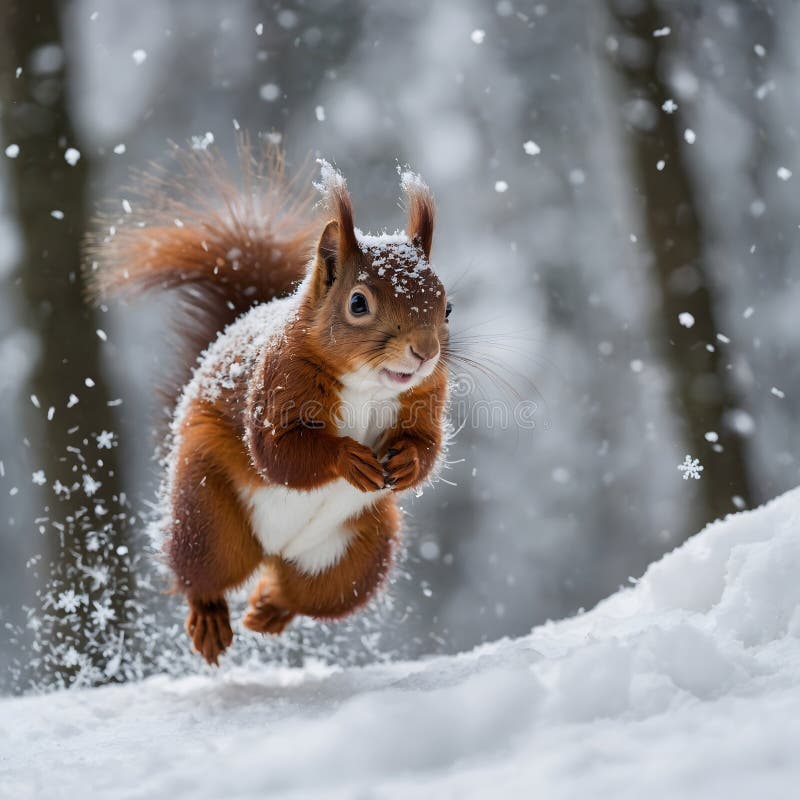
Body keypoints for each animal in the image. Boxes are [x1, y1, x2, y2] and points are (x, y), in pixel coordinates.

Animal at [87, 141, 451, 664]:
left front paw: (405, 461)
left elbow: (427, 444)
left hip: (358, 555)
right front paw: (347, 458)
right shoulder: (278, 381)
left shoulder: (427, 396)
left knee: (305, 594)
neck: (369, 388)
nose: (424, 352)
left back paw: (267, 607)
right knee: (202, 574)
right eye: (358, 303)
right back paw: (209, 619)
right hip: (208, 515)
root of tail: (277, 550)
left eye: (447, 308)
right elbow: (277, 451)